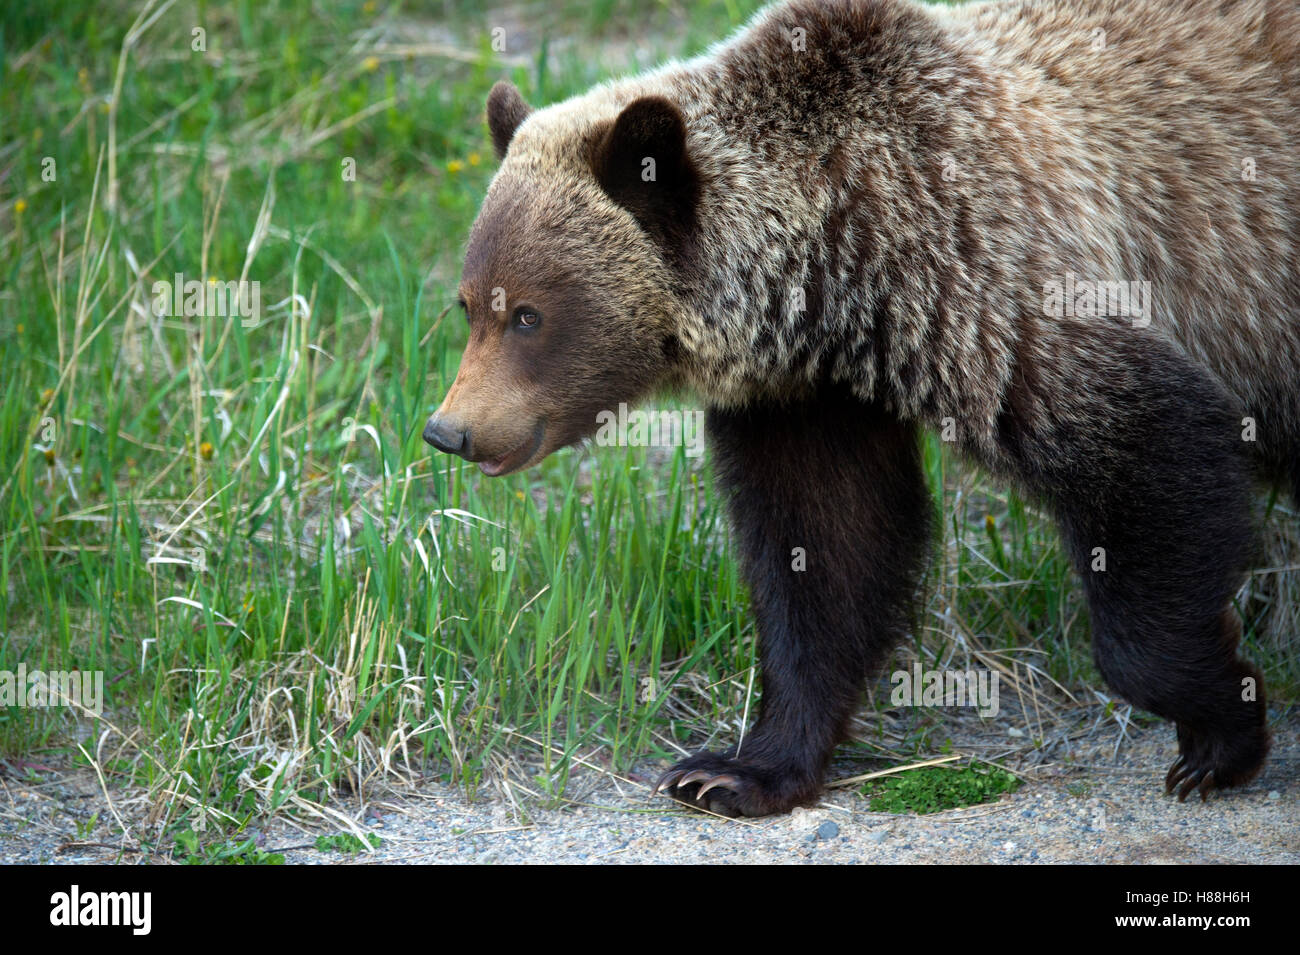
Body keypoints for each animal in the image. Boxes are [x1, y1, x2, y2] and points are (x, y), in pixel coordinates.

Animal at [422, 0, 1300, 816]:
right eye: (469, 304)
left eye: (528, 314)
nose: (449, 429)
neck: (846, 273)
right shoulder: (806, 395)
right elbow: (827, 551)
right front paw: (735, 769)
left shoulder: (1002, 279)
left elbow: (1151, 457)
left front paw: (1218, 734)